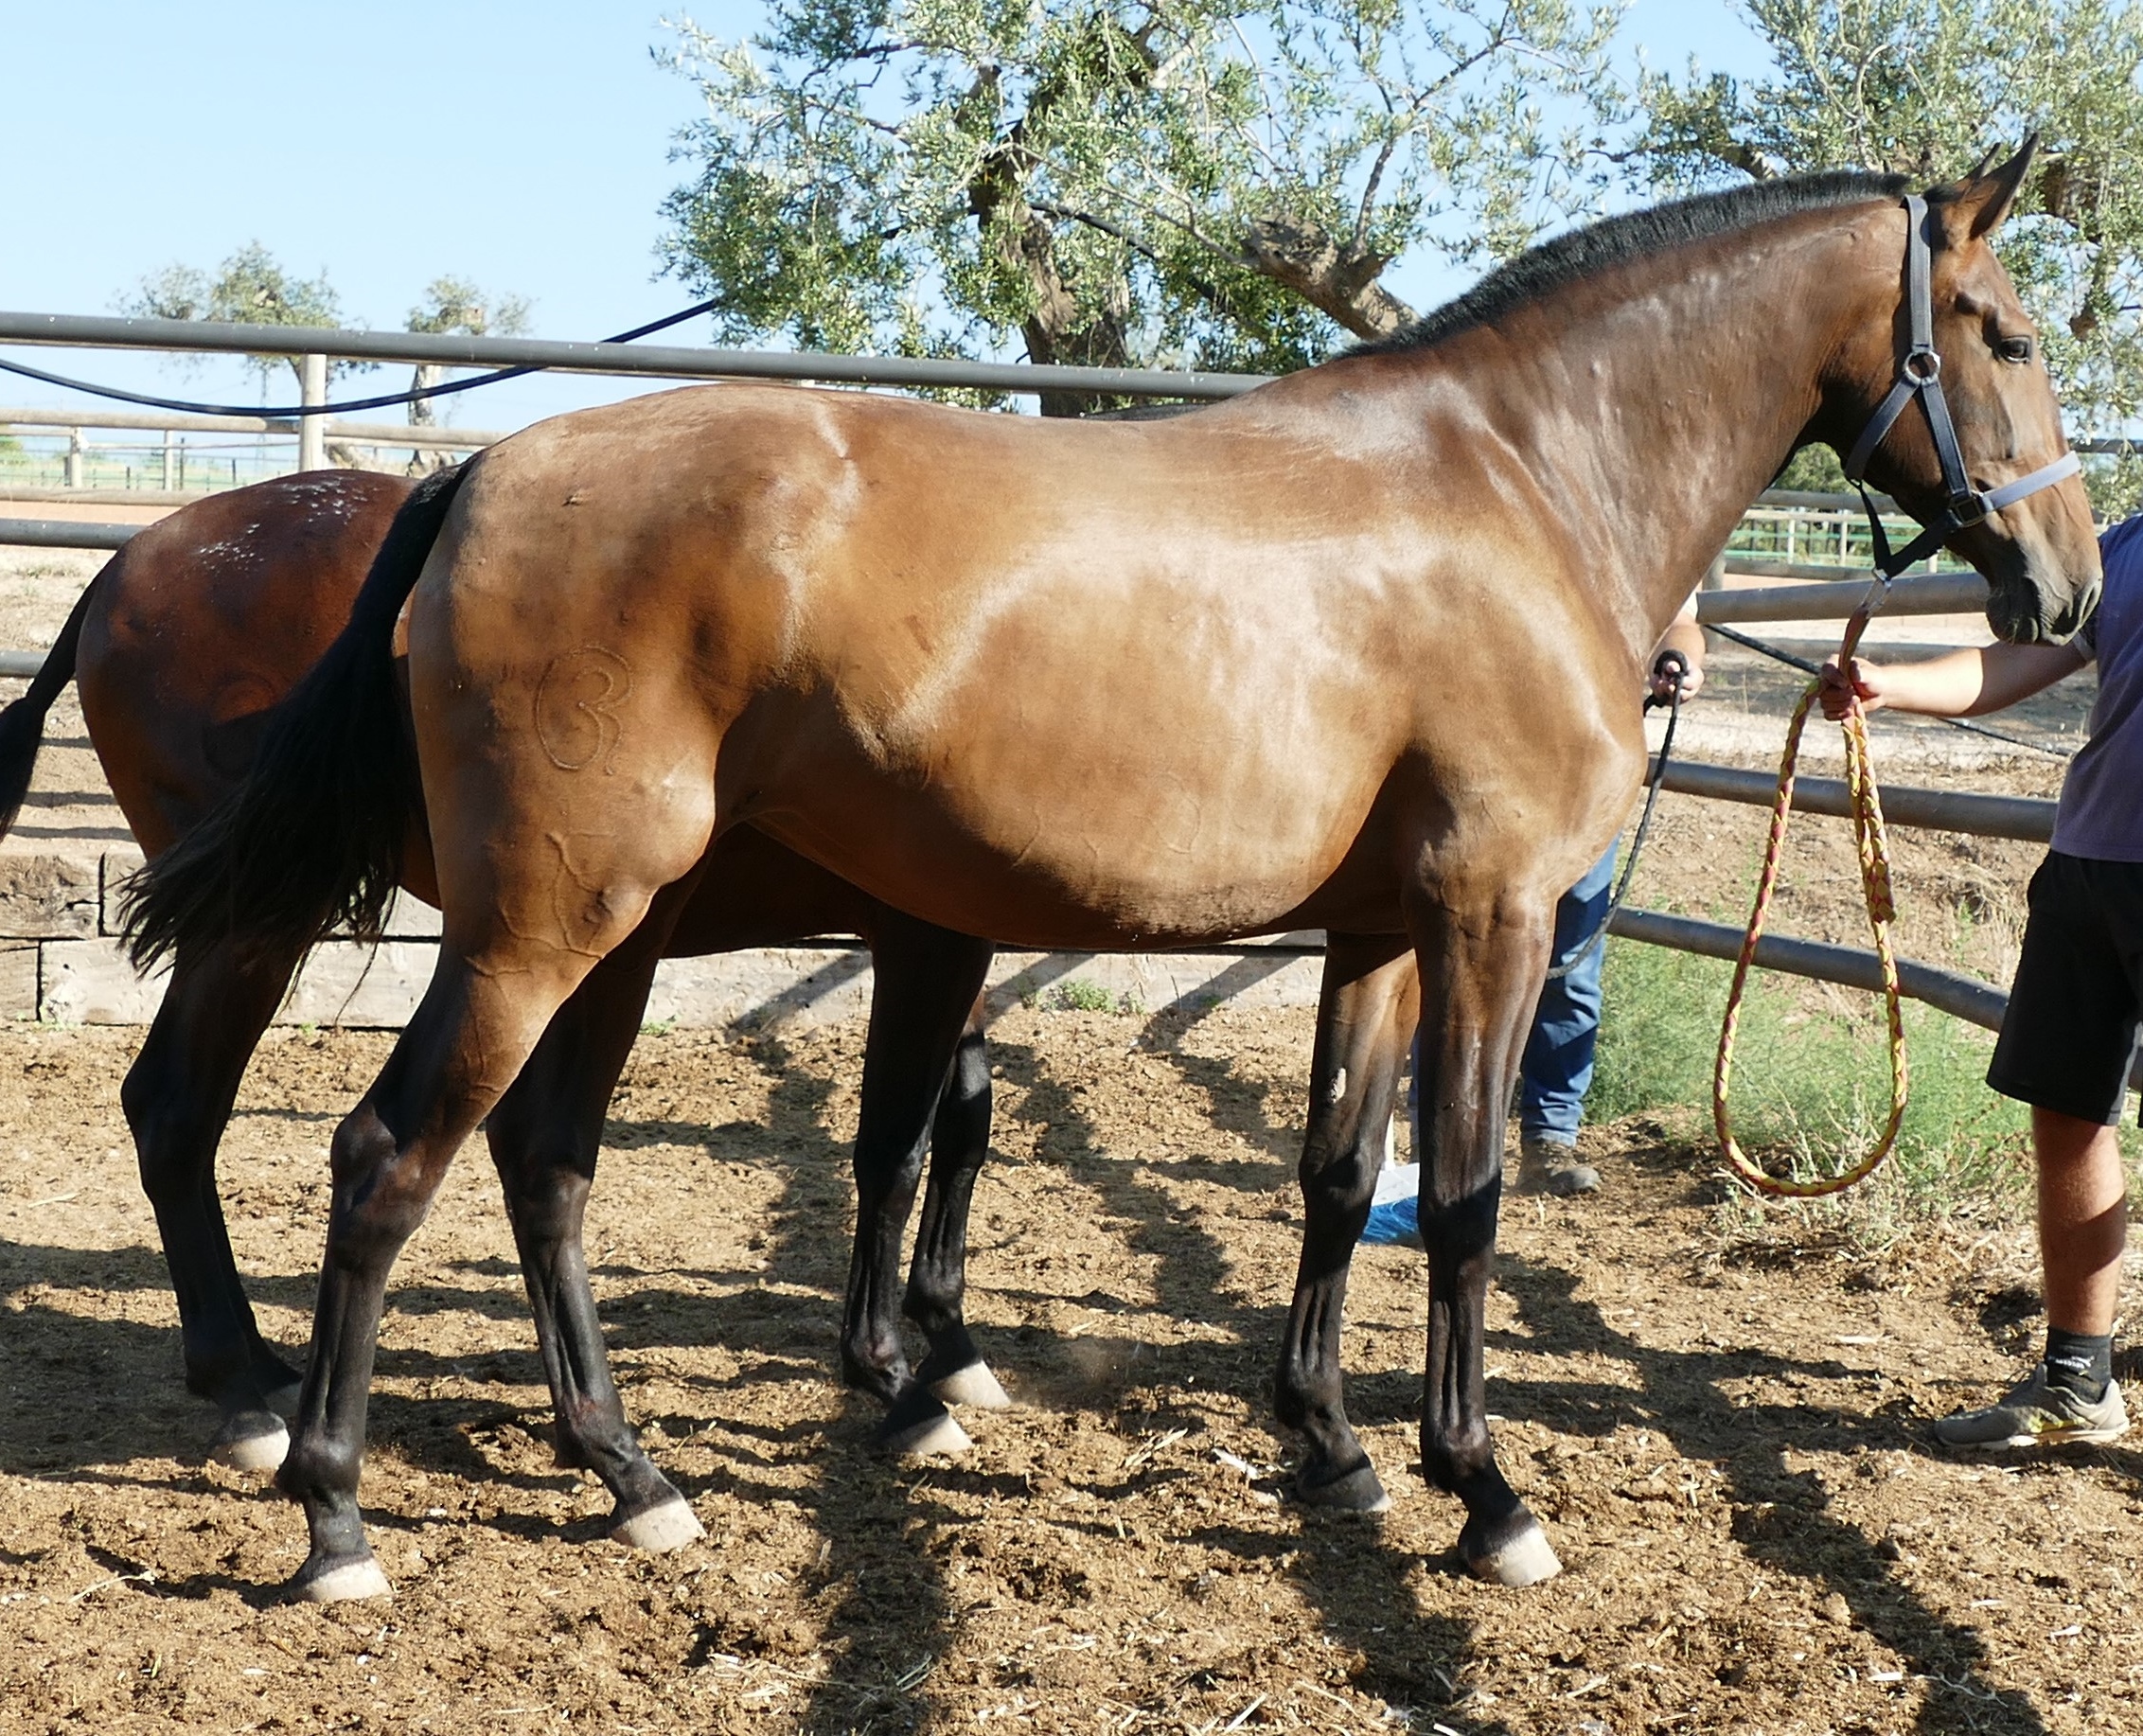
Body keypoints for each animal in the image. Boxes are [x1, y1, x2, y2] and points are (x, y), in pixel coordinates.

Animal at [0, 472, 1022, 1552]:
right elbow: (899, 1149)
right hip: (260, 922)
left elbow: (966, 1118)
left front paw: (950, 1341)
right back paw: (248, 1392)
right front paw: (900, 1377)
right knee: (177, 1109)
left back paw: (256, 1379)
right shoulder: (927, 938)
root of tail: (124, 567)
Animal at [130, 151, 2099, 1604]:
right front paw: (1483, 1486)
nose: (2067, 590)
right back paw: (327, 1505)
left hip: (608, 934)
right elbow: (1462, 1196)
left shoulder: (1376, 933)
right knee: (380, 1154)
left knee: (539, 1162)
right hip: (536, 928)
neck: (1516, 486)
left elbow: (1333, 1176)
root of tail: (475, 475)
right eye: (1999, 331)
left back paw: (626, 1469)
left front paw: (1330, 1443)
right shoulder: (1488, 917)